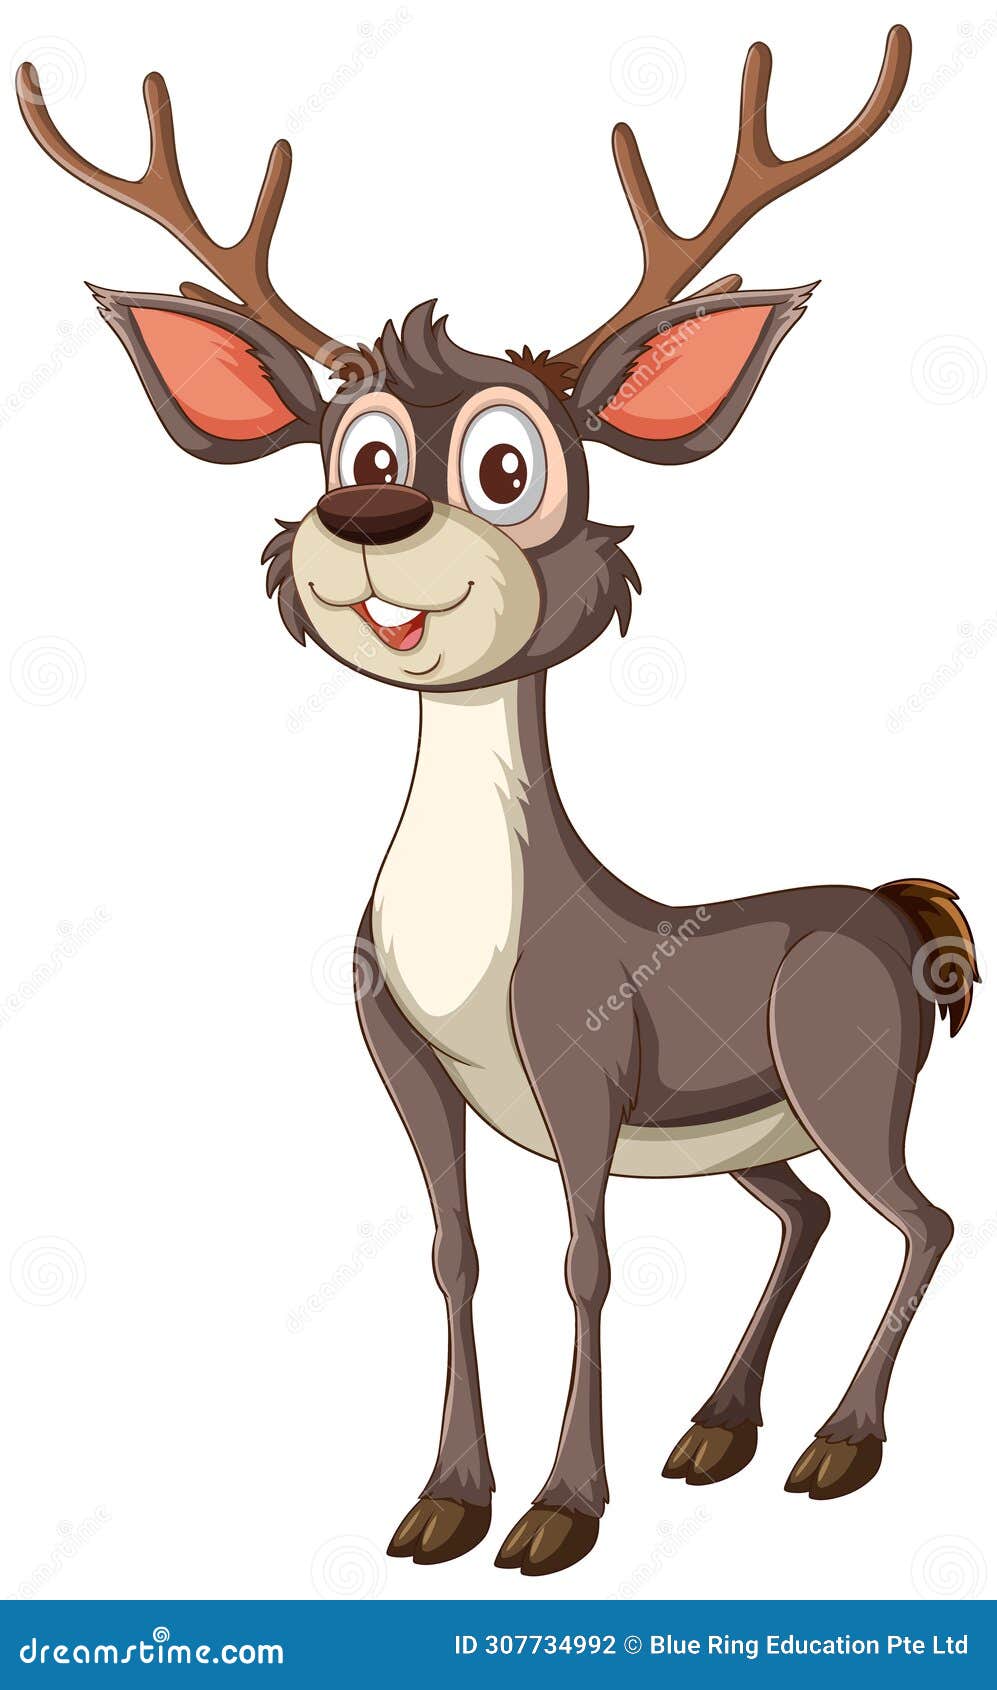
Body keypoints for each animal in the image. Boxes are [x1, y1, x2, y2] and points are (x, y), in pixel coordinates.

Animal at [17, 23, 980, 1578]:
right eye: (356, 448)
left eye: (509, 462)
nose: (368, 519)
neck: (472, 954)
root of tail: (911, 915)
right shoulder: (399, 1056)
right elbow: (452, 1253)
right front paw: (444, 1498)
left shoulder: (581, 1059)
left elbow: (584, 1261)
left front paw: (557, 1510)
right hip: (754, 1130)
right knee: (808, 1216)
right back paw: (715, 1430)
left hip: (848, 1075)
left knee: (927, 1216)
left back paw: (836, 1446)